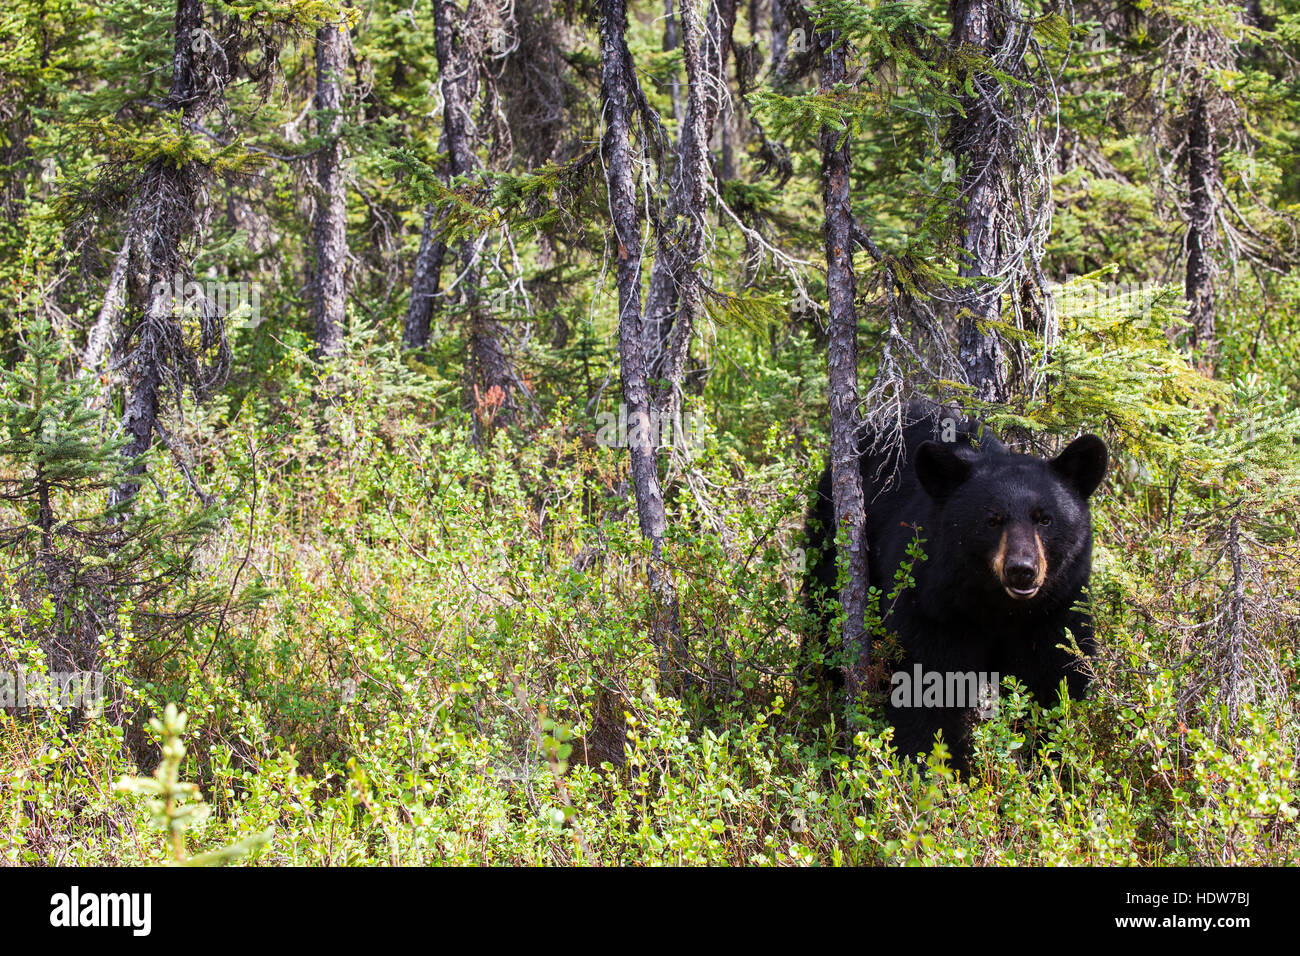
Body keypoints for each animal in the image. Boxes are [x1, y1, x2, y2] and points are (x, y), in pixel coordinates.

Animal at [805, 406, 1108, 772]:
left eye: (1045, 518)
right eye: (992, 520)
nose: (1022, 570)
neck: (998, 608)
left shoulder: (1055, 610)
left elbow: (1053, 681)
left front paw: (1052, 765)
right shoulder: (935, 606)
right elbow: (926, 687)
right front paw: (930, 769)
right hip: (831, 540)